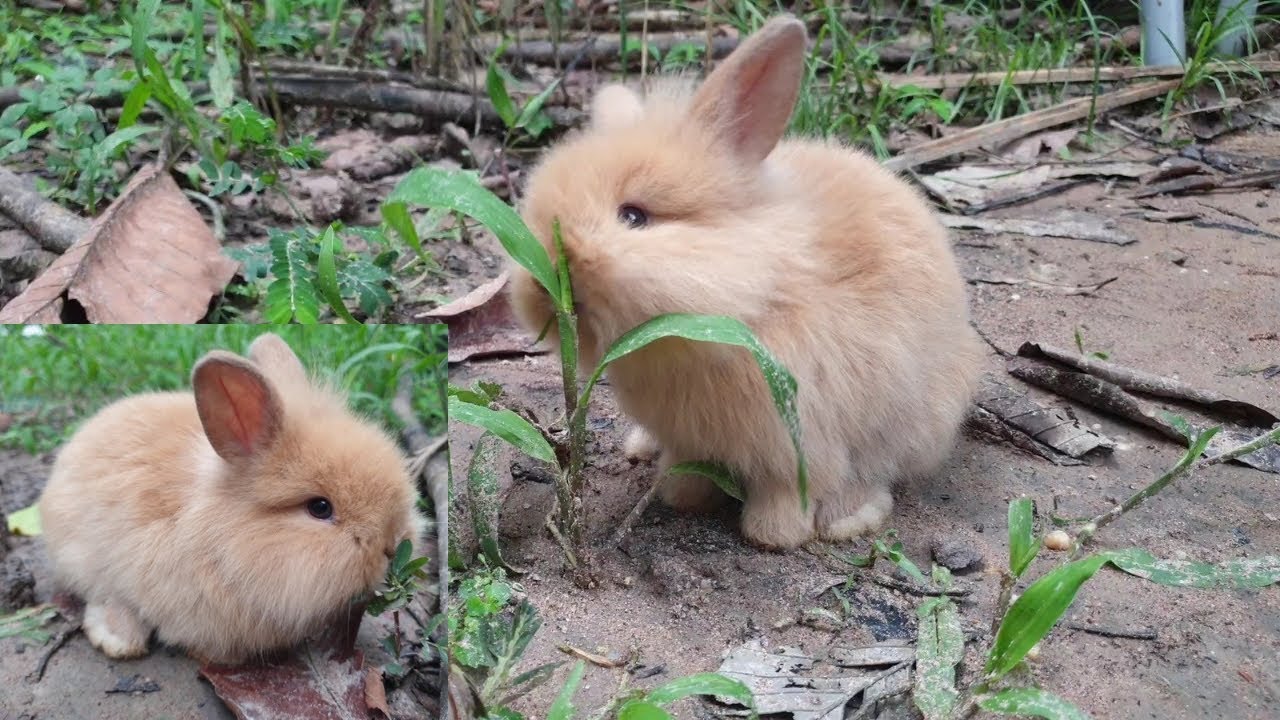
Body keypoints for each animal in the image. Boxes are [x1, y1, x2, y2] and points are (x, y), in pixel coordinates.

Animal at [507, 15, 984, 550]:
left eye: (633, 216)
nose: (540, 288)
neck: (758, 295)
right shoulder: (690, 439)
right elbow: (688, 469)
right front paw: (680, 495)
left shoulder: (804, 444)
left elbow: (792, 493)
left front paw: (773, 535)